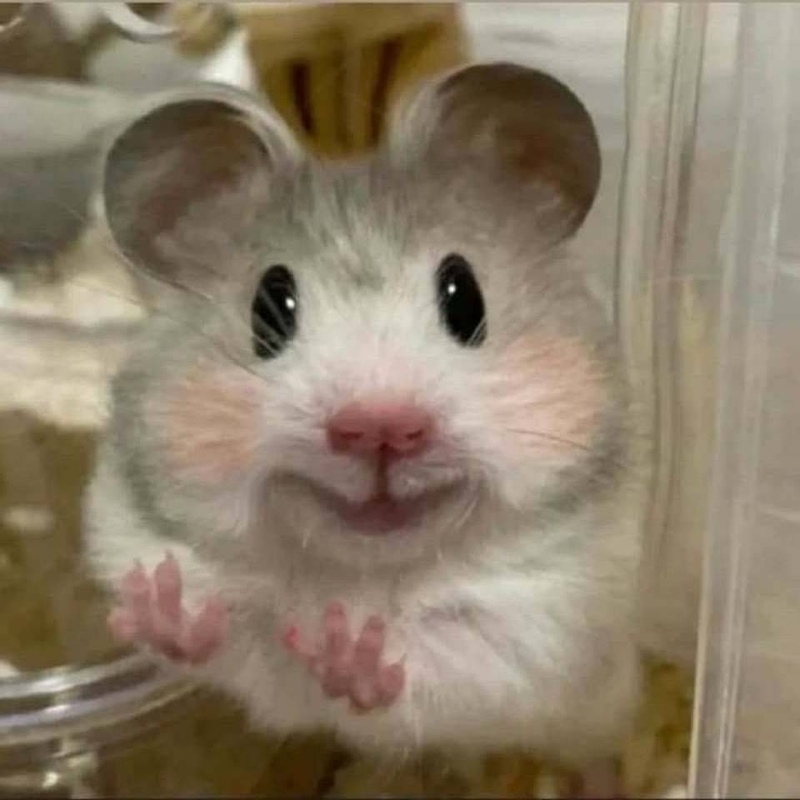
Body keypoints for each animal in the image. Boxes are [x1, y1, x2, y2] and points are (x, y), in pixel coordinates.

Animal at [84, 64, 646, 787]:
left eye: (466, 298)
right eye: (269, 307)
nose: (379, 427)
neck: (363, 570)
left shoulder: (539, 625)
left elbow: (432, 655)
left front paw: (348, 650)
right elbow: (242, 635)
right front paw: (160, 603)